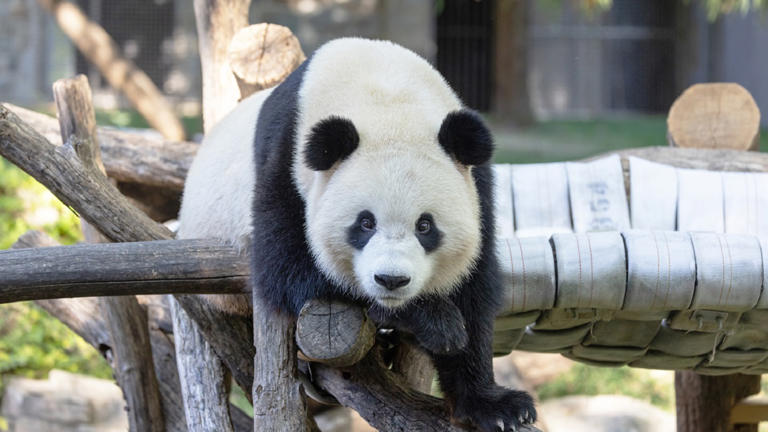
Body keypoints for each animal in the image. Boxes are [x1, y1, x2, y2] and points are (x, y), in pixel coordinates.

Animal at [178, 38, 536, 431]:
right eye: (365, 223)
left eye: (425, 226)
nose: (391, 280)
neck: (386, 96)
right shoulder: (284, 163)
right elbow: (286, 268)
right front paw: (435, 322)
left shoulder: (476, 184)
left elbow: (474, 288)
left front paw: (496, 405)